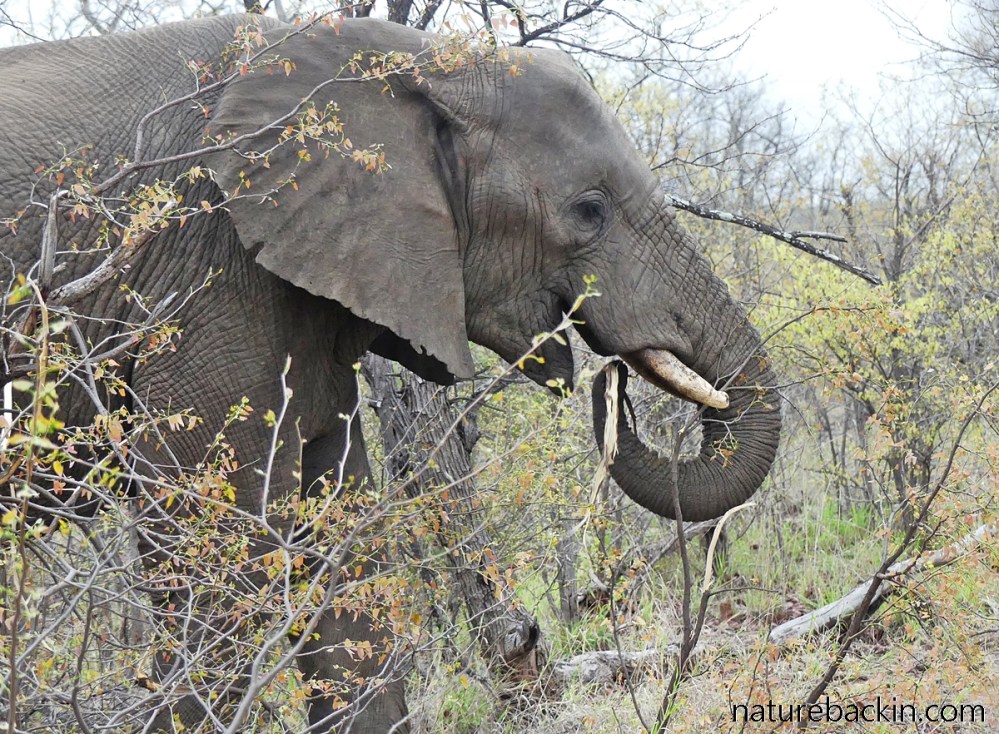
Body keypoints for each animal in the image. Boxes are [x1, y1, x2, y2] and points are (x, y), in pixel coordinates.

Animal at [0, 12, 781, 733]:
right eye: (589, 210)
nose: (610, 377)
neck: (414, 62)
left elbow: (344, 561)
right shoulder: (208, 274)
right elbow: (225, 561)